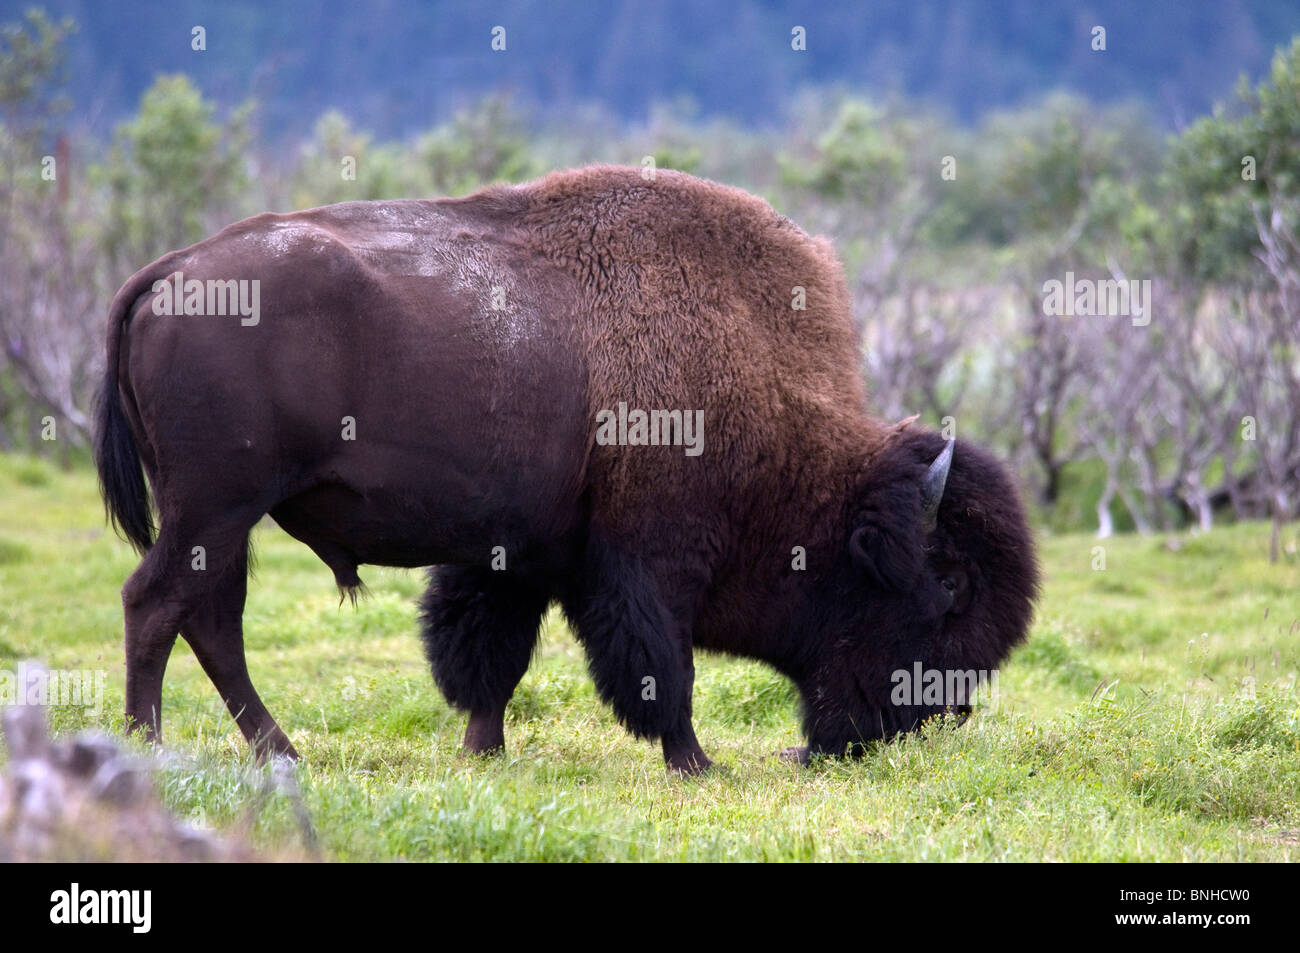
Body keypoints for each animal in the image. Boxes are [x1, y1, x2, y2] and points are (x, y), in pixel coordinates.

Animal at [94, 166, 1038, 773]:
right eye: (946, 588)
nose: (931, 717)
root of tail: (168, 272)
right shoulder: (648, 564)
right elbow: (661, 667)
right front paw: (696, 762)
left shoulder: (516, 557)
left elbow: (489, 656)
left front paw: (485, 751)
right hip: (215, 508)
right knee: (156, 603)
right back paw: (152, 746)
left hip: (223, 521)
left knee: (208, 618)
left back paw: (276, 749)